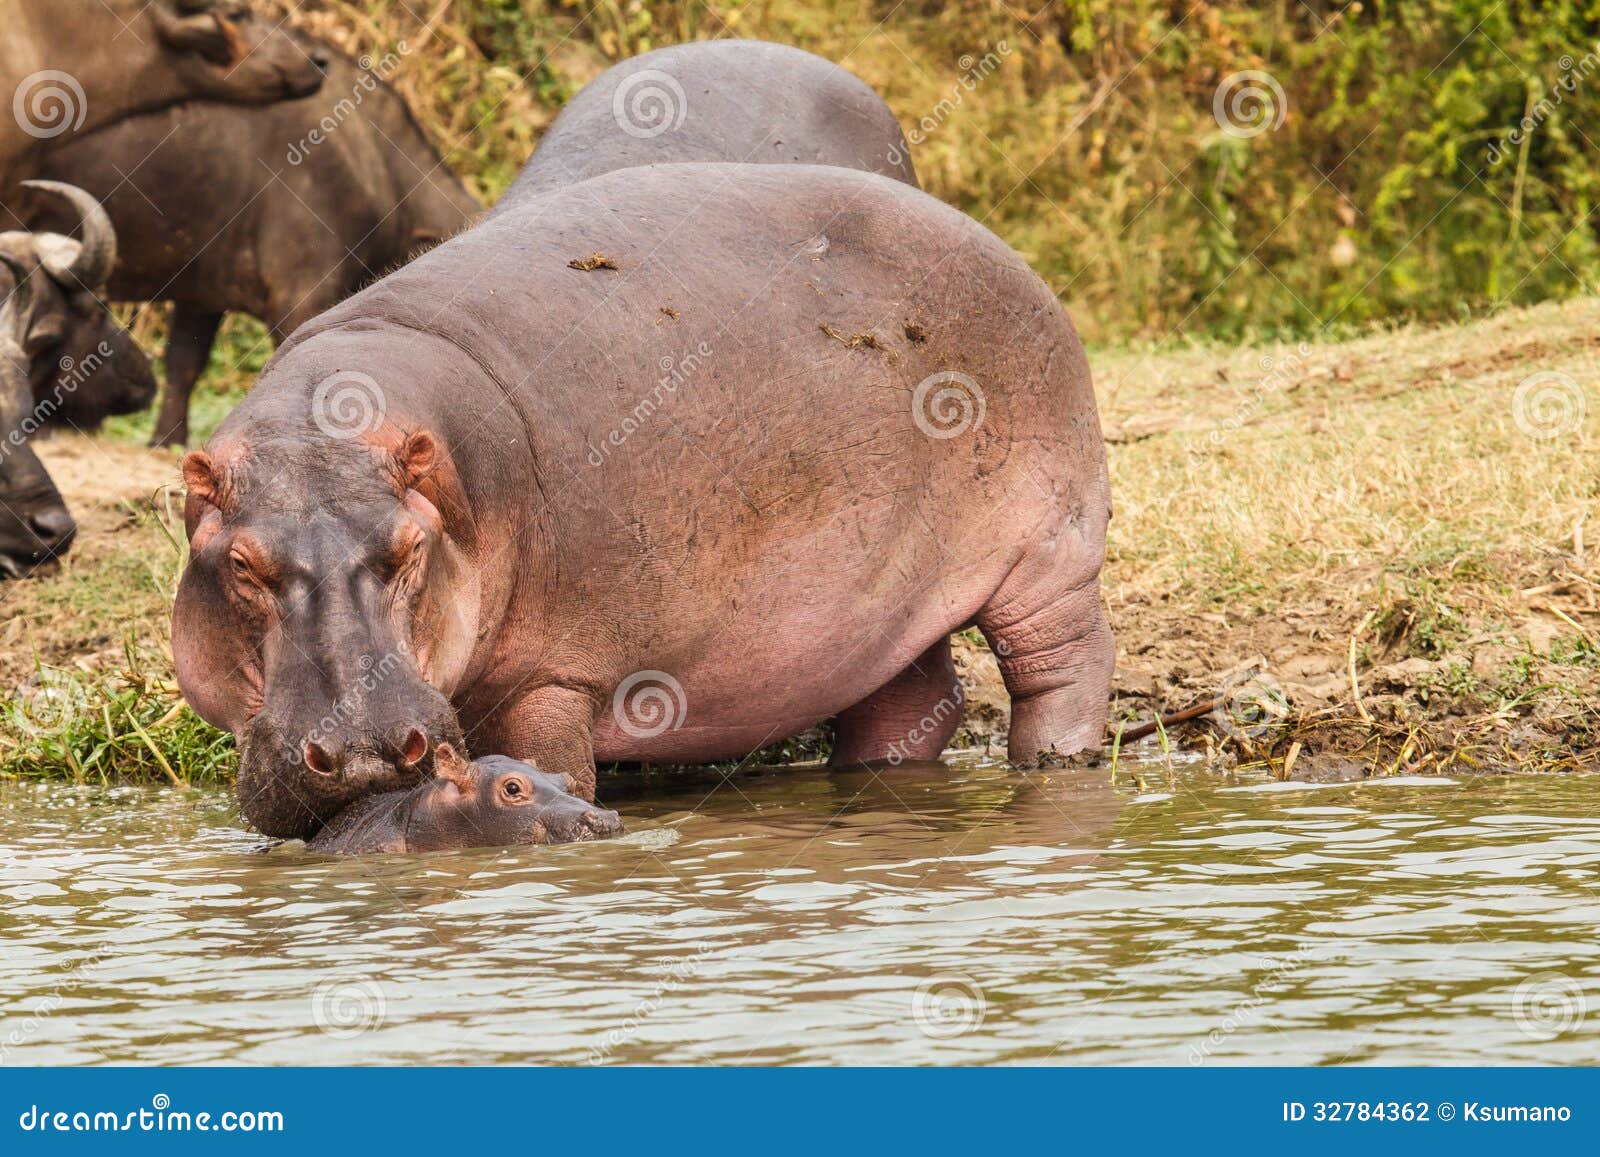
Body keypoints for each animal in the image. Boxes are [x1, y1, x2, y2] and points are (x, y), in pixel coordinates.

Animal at [173, 161, 1113, 839]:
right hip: (886, 604)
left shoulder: (559, 674)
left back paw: (1056, 766)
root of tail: (1002, 246)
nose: (365, 751)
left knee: (1061, 661)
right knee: (912, 698)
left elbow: (553, 756)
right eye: (240, 563)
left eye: (409, 548)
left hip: (1049, 548)